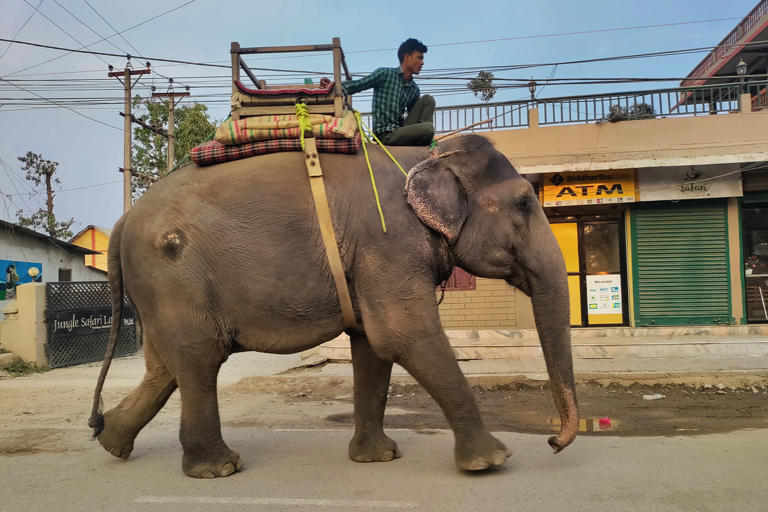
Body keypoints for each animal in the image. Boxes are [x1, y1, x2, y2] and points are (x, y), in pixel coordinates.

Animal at [89, 134, 579, 478]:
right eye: (524, 203)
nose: (554, 443)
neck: (427, 154)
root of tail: (123, 219)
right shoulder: (387, 240)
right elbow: (404, 334)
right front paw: (492, 461)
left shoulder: (369, 257)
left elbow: (372, 345)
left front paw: (379, 458)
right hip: (173, 278)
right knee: (198, 360)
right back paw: (220, 468)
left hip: (160, 289)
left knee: (165, 367)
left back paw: (111, 442)